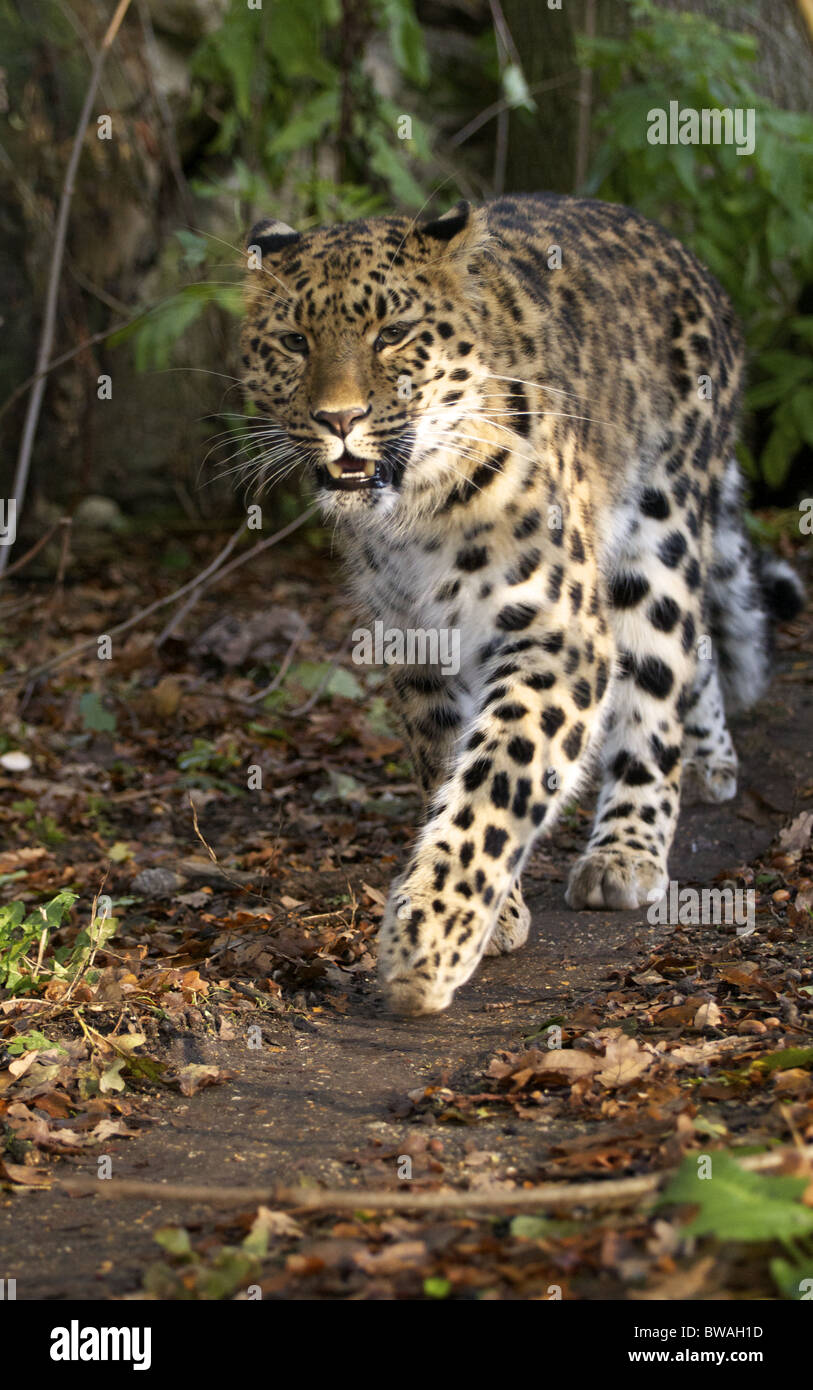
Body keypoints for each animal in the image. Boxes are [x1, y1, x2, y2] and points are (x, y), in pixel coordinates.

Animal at [240, 193, 803, 1016]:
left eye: (392, 333)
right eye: (292, 341)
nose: (337, 419)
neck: (417, 511)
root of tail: (684, 253)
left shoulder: (557, 633)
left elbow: (500, 777)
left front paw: (427, 944)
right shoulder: (415, 642)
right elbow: (450, 764)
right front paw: (492, 912)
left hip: (659, 532)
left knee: (661, 664)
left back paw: (627, 848)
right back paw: (706, 759)